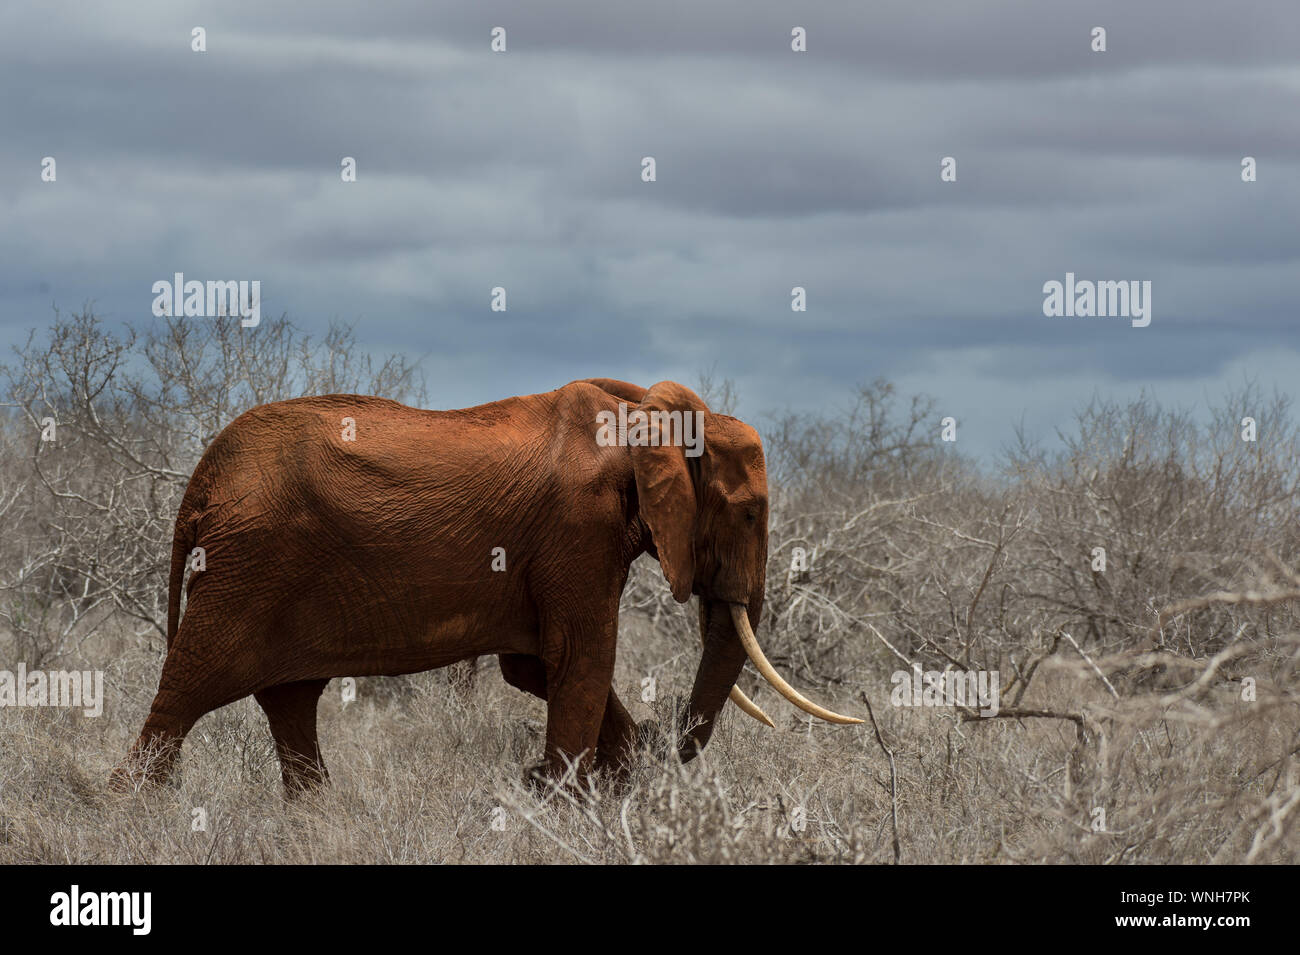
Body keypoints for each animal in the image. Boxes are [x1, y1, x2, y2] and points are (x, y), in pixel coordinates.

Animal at [110, 378, 859, 795]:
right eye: (751, 513)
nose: (662, 742)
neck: (640, 421)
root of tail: (201, 481)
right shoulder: (578, 534)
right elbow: (580, 661)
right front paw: (563, 796)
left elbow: (535, 666)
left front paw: (611, 781)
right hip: (247, 568)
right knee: (188, 692)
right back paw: (128, 809)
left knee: (290, 703)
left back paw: (316, 819)